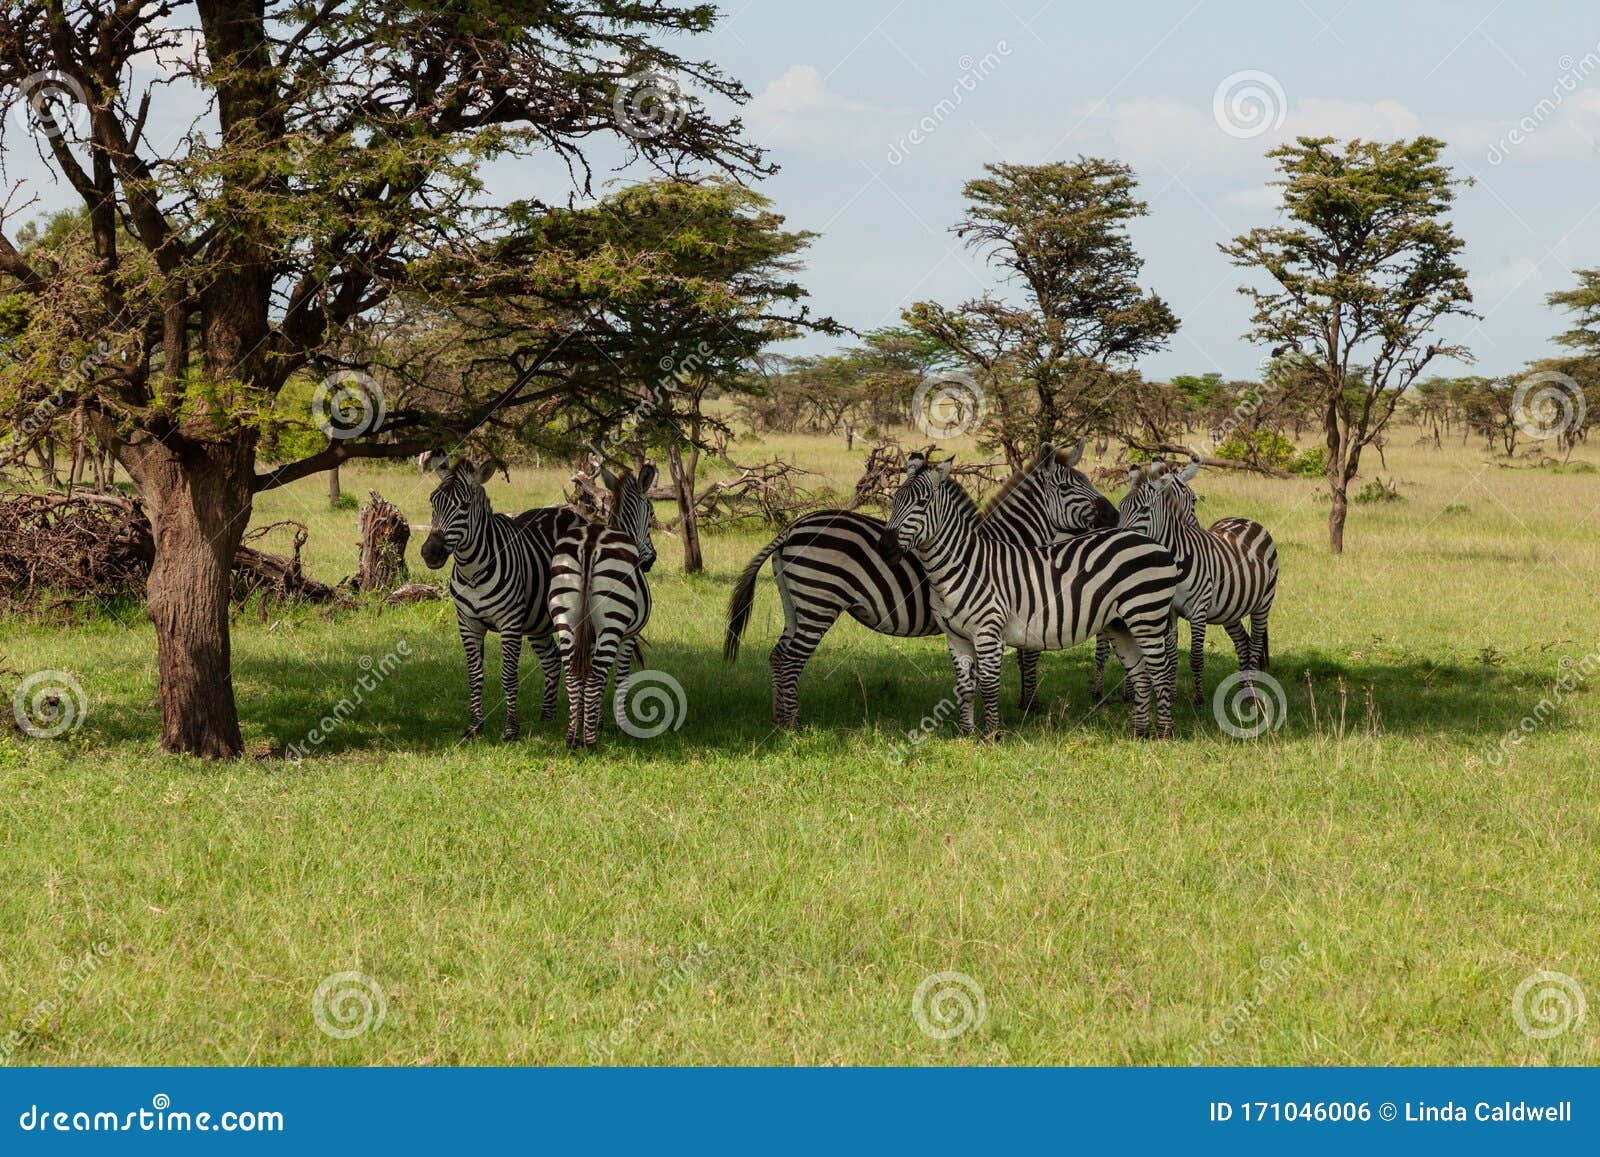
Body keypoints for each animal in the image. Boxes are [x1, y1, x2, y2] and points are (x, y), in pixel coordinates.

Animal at [419, 452, 577, 740]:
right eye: (432, 501)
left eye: (465, 506)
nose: (430, 553)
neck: (473, 571)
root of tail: (565, 511)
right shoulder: (468, 624)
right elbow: (474, 675)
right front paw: (474, 726)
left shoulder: (510, 624)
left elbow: (509, 676)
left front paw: (511, 729)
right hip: (538, 621)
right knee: (552, 661)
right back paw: (547, 717)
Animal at [548, 463, 658, 750]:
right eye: (652, 514)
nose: (650, 561)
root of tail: (590, 543)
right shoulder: (629, 635)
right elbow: (619, 677)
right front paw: (619, 725)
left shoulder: (590, 634)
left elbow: (585, 672)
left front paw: (591, 719)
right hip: (612, 619)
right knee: (598, 674)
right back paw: (590, 742)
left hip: (565, 614)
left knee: (572, 671)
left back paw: (572, 737)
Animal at [723, 442, 1119, 727]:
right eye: (1069, 486)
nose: (1114, 515)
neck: (1005, 542)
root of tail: (791, 528)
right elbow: (1028, 655)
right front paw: (1029, 706)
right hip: (818, 602)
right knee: (792, 659)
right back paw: (793, 725)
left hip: (796, 602)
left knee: (778, 656)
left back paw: (780, 719)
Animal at [878, 457, 1180, 739]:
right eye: (894, 501)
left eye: (922, 502)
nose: (885, 548)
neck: (962, 566)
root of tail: (1155, 543)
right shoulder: (956, 638)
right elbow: (965, 688)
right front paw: (966, 734)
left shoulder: (988, 632)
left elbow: (989, 685)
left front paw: (992, 736)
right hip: (1121, 624)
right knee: (1141, 675)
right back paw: (1139, 733)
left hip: (1146, 617)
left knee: (1161, 673)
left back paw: (1163, 734)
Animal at [1093, 456, 1278, 705]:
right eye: (1121, 506)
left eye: (1144, 509)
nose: (1117, 538)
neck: (1177, 561)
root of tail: (1246, 520)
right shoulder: (1169, 612)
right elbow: (1171, 657)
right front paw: (1171, 695)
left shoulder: (1198, 611)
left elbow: (1196, 656)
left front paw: (1198, 698)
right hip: (1230, 609)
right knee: (1243, 643)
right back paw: (1242, 687)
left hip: (1263, 603)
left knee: (1256, 643)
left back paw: (1251, 692)